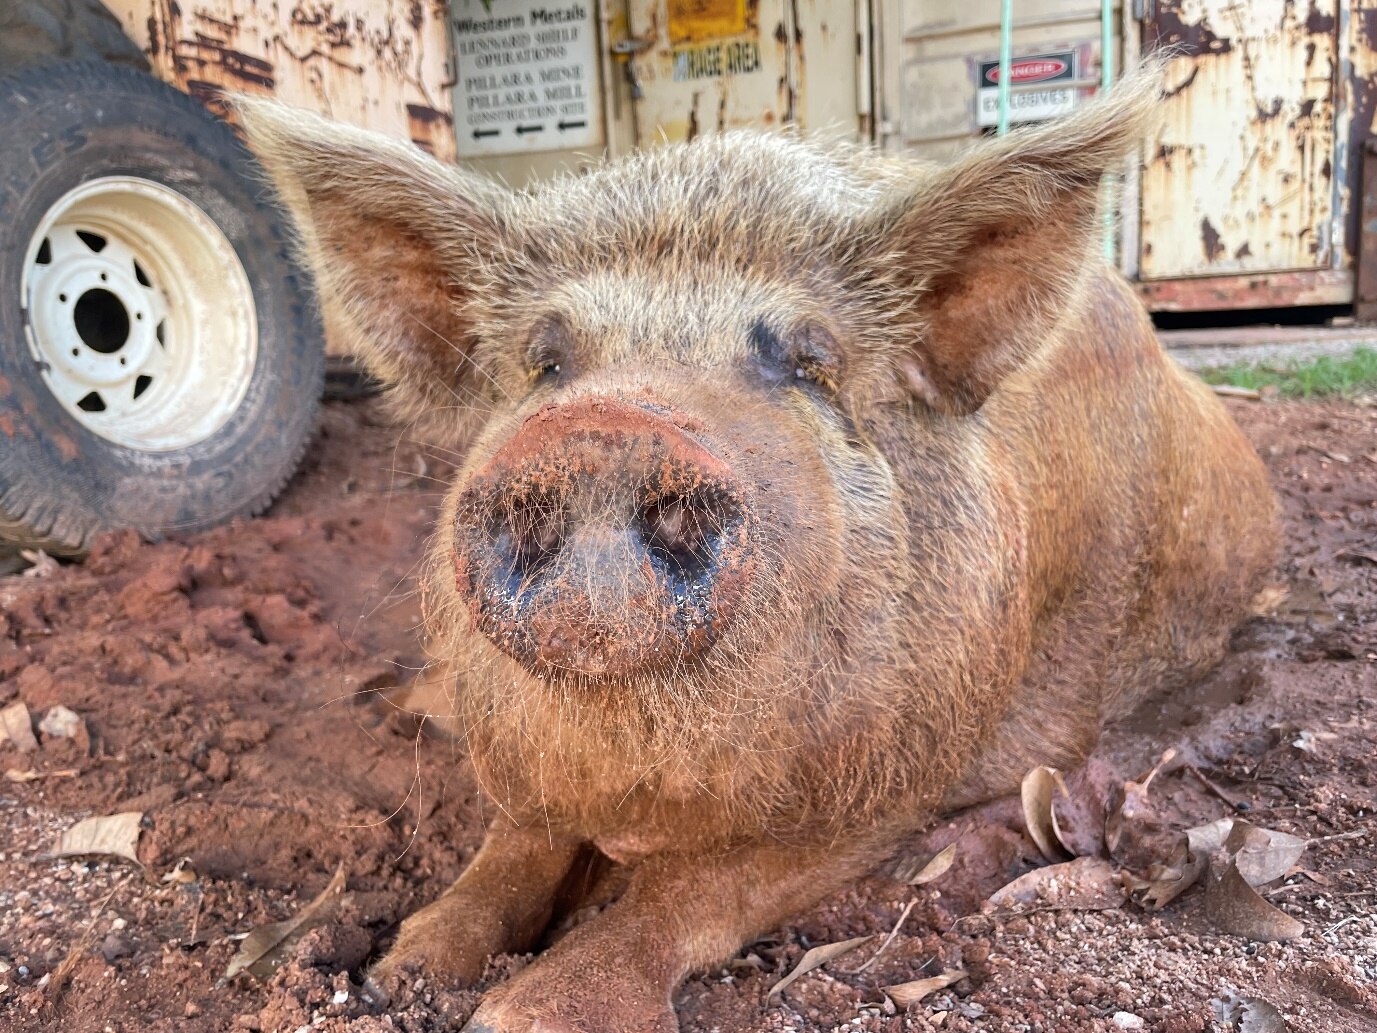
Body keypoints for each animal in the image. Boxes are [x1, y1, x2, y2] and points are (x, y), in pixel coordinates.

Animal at [238, 67, 1277, 1033]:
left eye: (808, 363)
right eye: (544, 362)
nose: (602, 431)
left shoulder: (914, 765)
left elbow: (699, 886)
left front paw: (519, 1014)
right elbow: (517, 838)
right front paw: (400, 968)